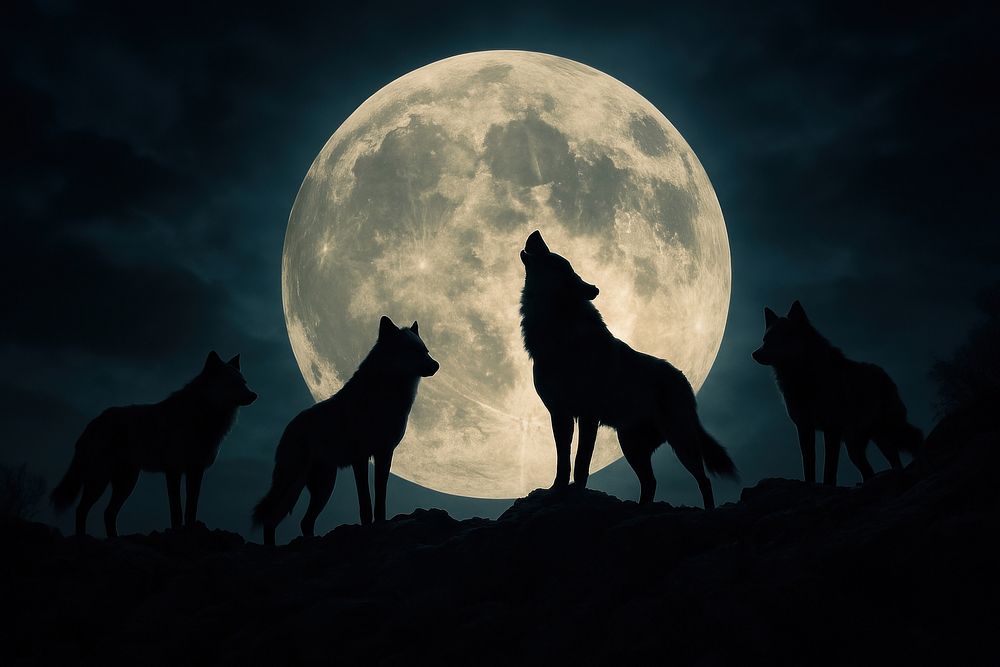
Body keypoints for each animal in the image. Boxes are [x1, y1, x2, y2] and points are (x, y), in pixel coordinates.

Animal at [51, 352, 257, 537]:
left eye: (244, 382)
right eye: (232, 383)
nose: (254, 395)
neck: (202, 418)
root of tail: (92, 423)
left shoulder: (195, 471)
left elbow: (191, 508)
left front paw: (190, 530)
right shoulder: (173, 471)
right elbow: (176, 510)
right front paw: (177, 532)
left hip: (126, 483)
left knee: (108, 514)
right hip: (100, 481)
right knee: (81, 510)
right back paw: (82, 537)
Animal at [252, 316, 438, 546]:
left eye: (426, 350)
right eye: (413, 350)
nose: (437, 365)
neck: (384, 397)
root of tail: (289, 427)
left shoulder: (384, 454)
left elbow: (380, 499)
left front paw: (380, 524)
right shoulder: (360, 458)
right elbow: (365, 503)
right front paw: (367, 528)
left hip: (323, 486)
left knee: (304, 522)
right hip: (294, 482)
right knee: (271, 517)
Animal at [519, 231, 737, 509]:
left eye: (557, 260)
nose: (536, 233)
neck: (560, 333)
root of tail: (684, 381)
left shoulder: (587, 415)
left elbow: (581, 463)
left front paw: (577, 494)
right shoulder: (560, 415)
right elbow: (562, 462)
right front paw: (555, 491)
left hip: (679, 440)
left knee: (703, 480)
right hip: (631, 444)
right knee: (651, 482)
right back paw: (642, 509)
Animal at [752, 301, 922, 485]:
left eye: (779, 337)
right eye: (765, 339)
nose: (754, 354)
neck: (805, 378)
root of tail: (885, 376)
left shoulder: (831, 428)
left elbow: (829, 468)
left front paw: (828, 485)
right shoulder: (804, 427)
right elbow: (808, 464)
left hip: (883, 434)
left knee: (910, 443)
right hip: (858, 447)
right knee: (872, 469)